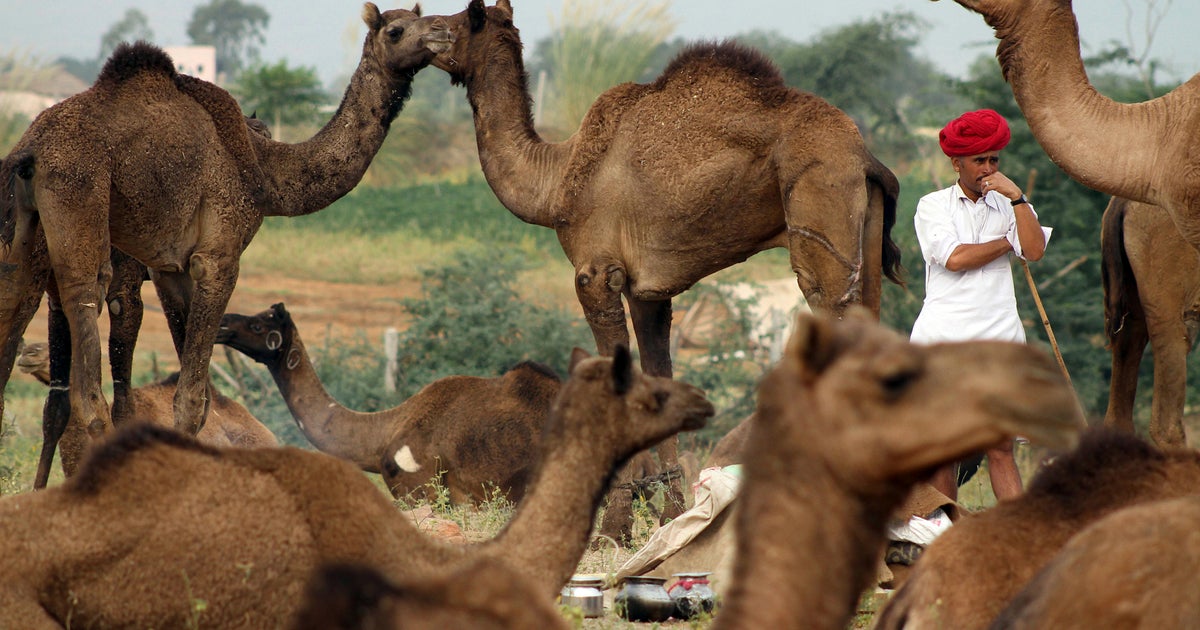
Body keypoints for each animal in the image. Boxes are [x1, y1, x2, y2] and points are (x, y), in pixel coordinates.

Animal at [0, 5, 454, 471]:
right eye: (396, 30)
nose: (443, 30)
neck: (265, 170)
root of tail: (29, 150)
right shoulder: (217, 258)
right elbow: (189, 400)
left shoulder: (171, 269)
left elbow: (196, 397)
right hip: (79, 204)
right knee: (87, 362)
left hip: (24, 244)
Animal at [429, 0, 905, 529]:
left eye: (459, 21)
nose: (416, 31)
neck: (556, 179)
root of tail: (866, 157)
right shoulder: (647, 290)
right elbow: (658, 372)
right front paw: (671, 515)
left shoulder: (596, 273)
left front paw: (613, 528)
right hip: (865, 225)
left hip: (819, 202)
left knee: (828, 299)